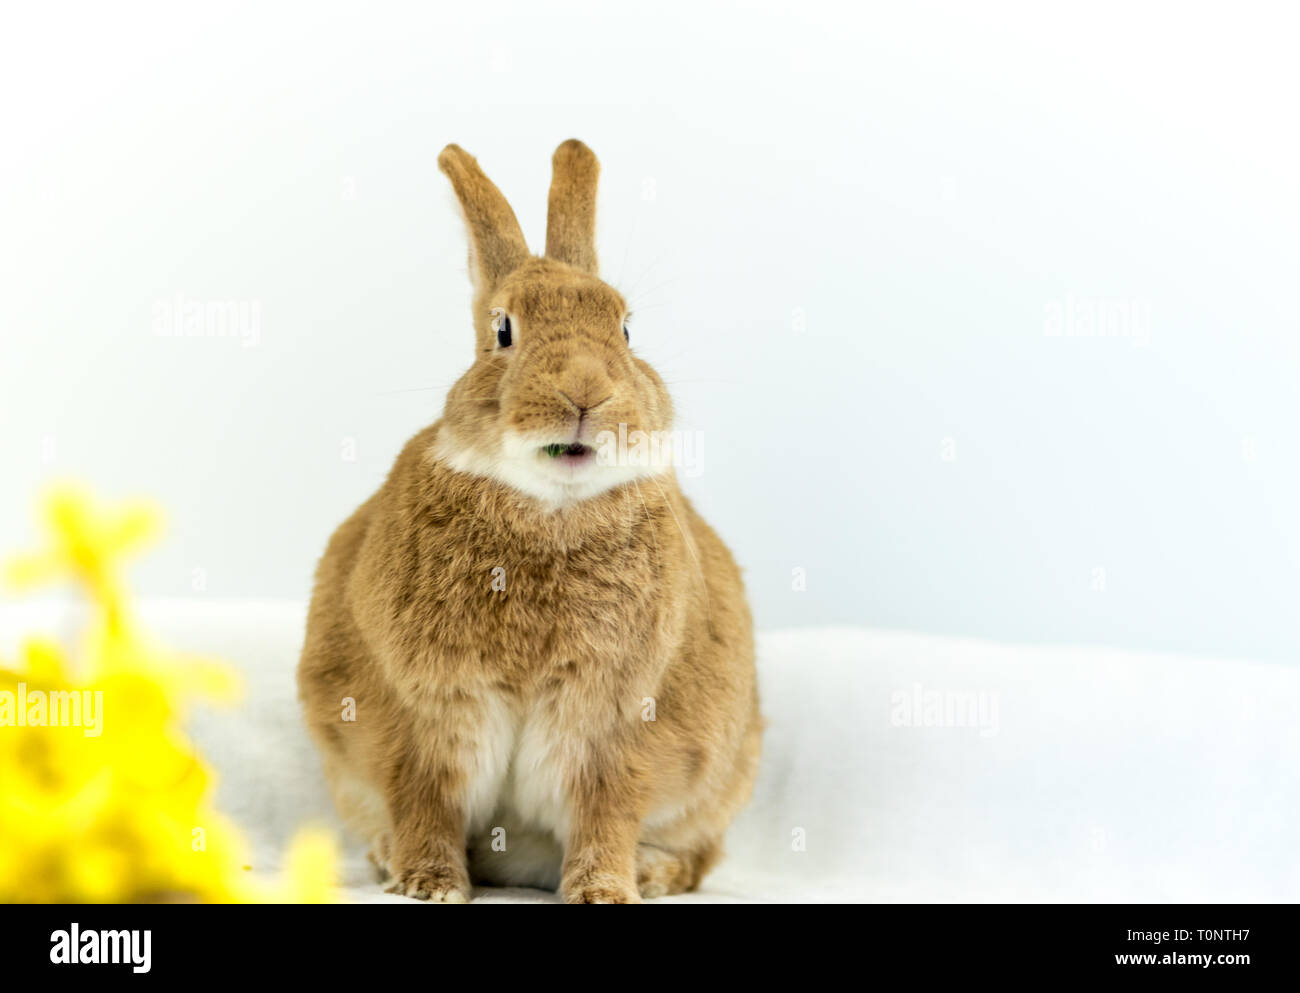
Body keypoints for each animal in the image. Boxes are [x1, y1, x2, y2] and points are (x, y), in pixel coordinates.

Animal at [297, 139, 761, 904]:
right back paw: (387, 859)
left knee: (699, 853)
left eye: (625, 327)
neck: (549, 510)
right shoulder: (423, 718)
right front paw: (428, 884)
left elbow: (607, 812)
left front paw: (604, 891)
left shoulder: (614, 727)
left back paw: (653, 871)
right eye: (504, 331)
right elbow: (423, 801)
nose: (586, 390)